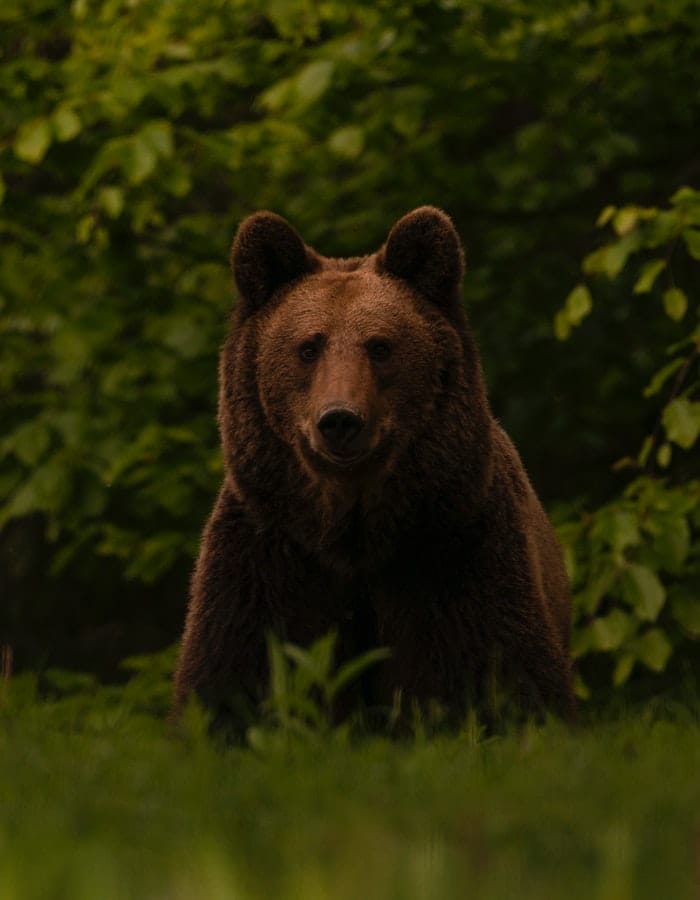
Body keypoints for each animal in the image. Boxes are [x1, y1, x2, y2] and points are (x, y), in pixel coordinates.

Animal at [173, 206, 575, 735]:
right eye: (309, 346)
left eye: (380, 346)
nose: (340, 419)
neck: (353, 534)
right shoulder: (269, 560)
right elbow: (233, 679)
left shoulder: (453, 553)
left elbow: (502, 676)